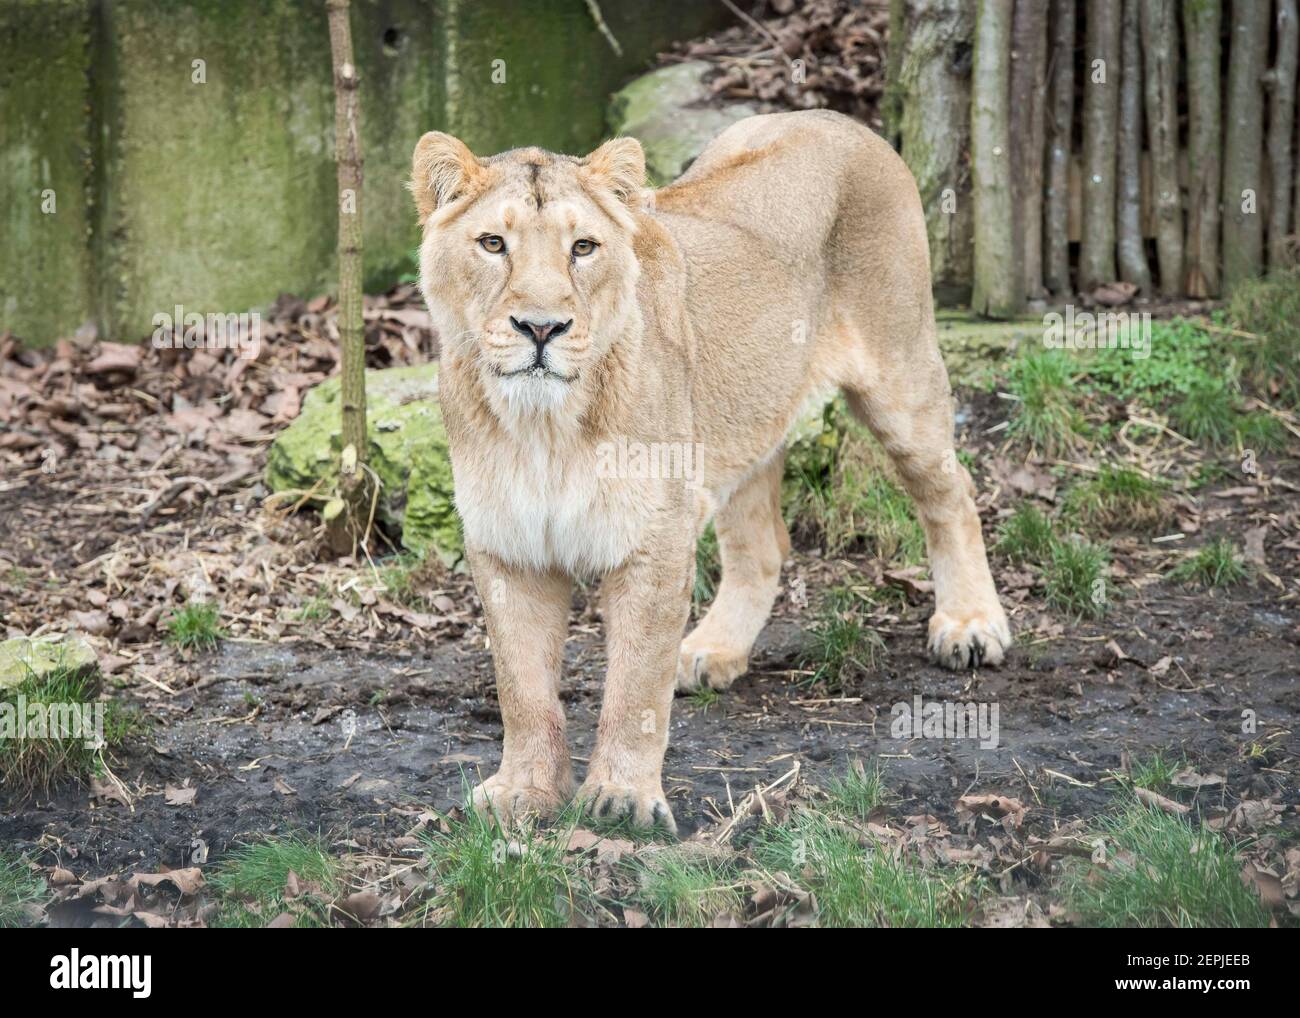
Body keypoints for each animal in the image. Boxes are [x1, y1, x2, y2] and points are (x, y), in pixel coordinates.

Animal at [410, 110, 1010, 833]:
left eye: (583, 248)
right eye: (492, 243)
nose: (542, 327)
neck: (543, 425)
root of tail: (833, 117)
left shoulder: (654, 542)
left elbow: (636, 686)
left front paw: (621, 801)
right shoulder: (508, 548)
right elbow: (521, 690)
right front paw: (523, 793)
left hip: (901, 377)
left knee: (954, 494)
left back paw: (970, 624)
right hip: (740, 421)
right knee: (763, 547)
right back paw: (714, 651)